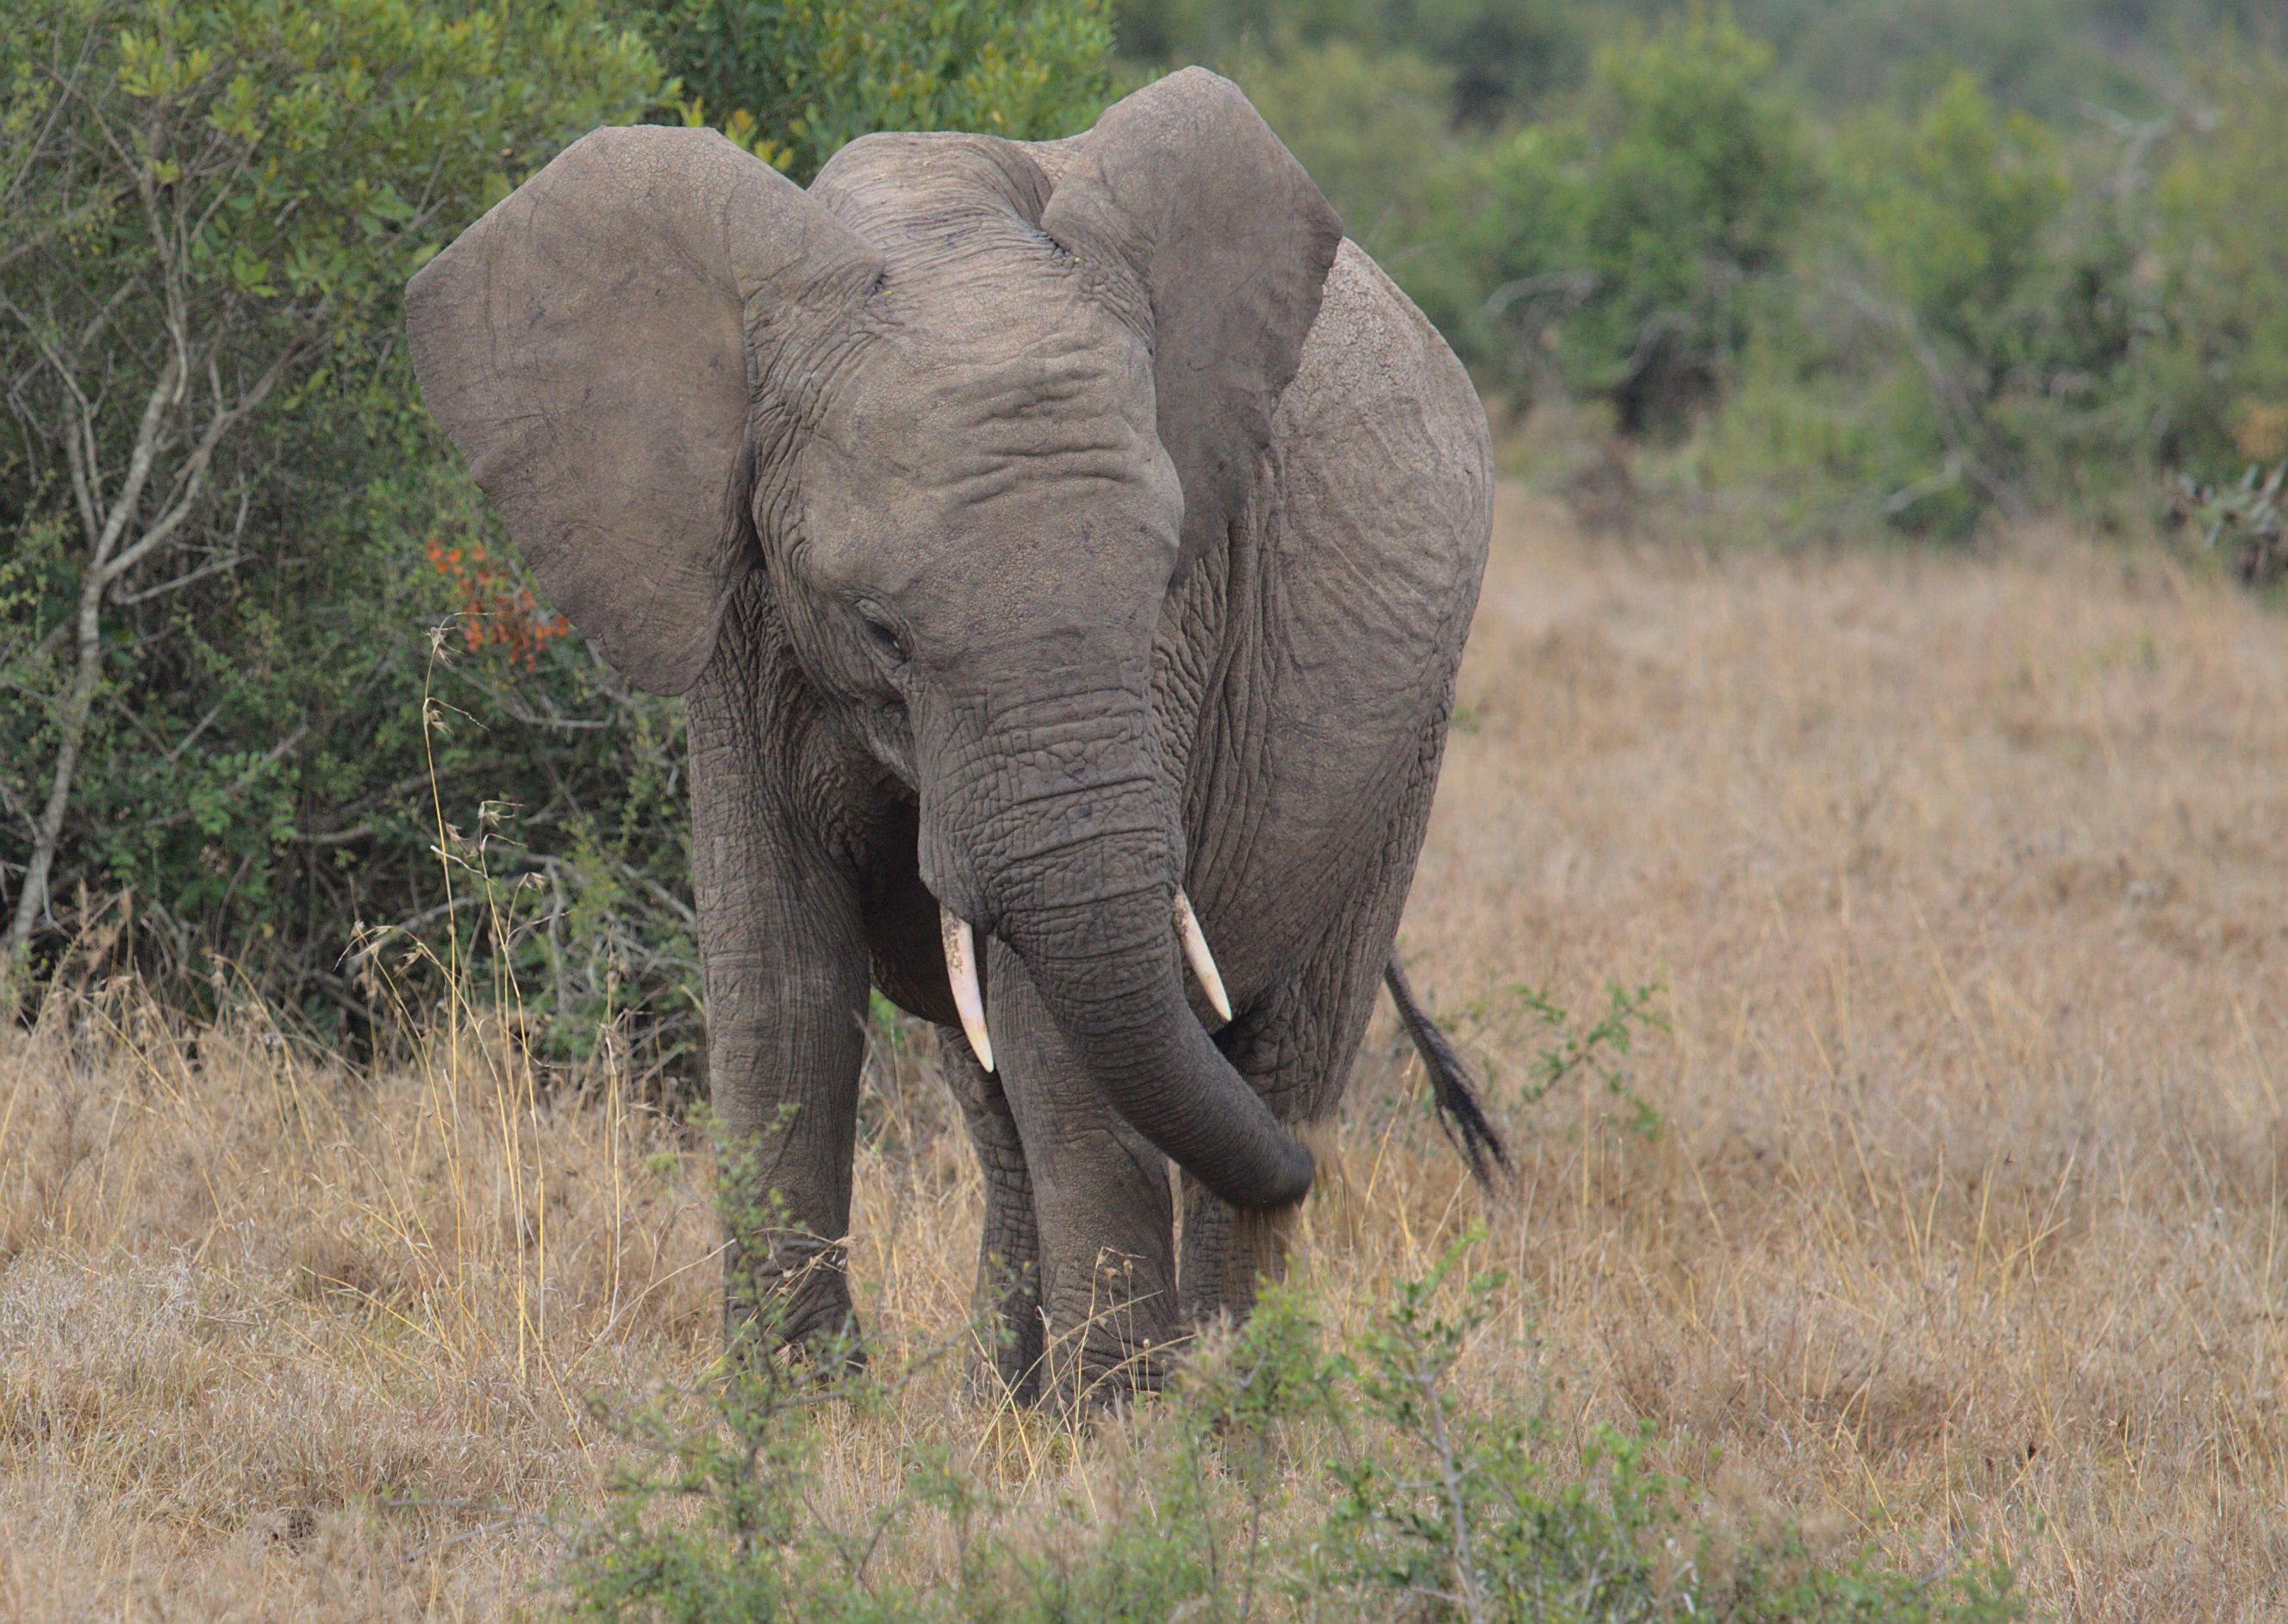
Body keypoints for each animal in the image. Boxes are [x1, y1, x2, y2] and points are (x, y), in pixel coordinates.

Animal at [404, 68, 1502, 1406]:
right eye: (880, 628)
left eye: (1159, 579)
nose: (1313, 1179)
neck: (926, 218)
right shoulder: (741, 588)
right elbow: (777, 963)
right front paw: (795, 1405)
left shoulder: (1176, 642)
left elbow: (1055, 1020)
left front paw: (1117, 1423)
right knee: (1002, 1095)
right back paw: (1012, 1395)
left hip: (1408, 743)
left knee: (1283, 1052)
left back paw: (1230, 1402)